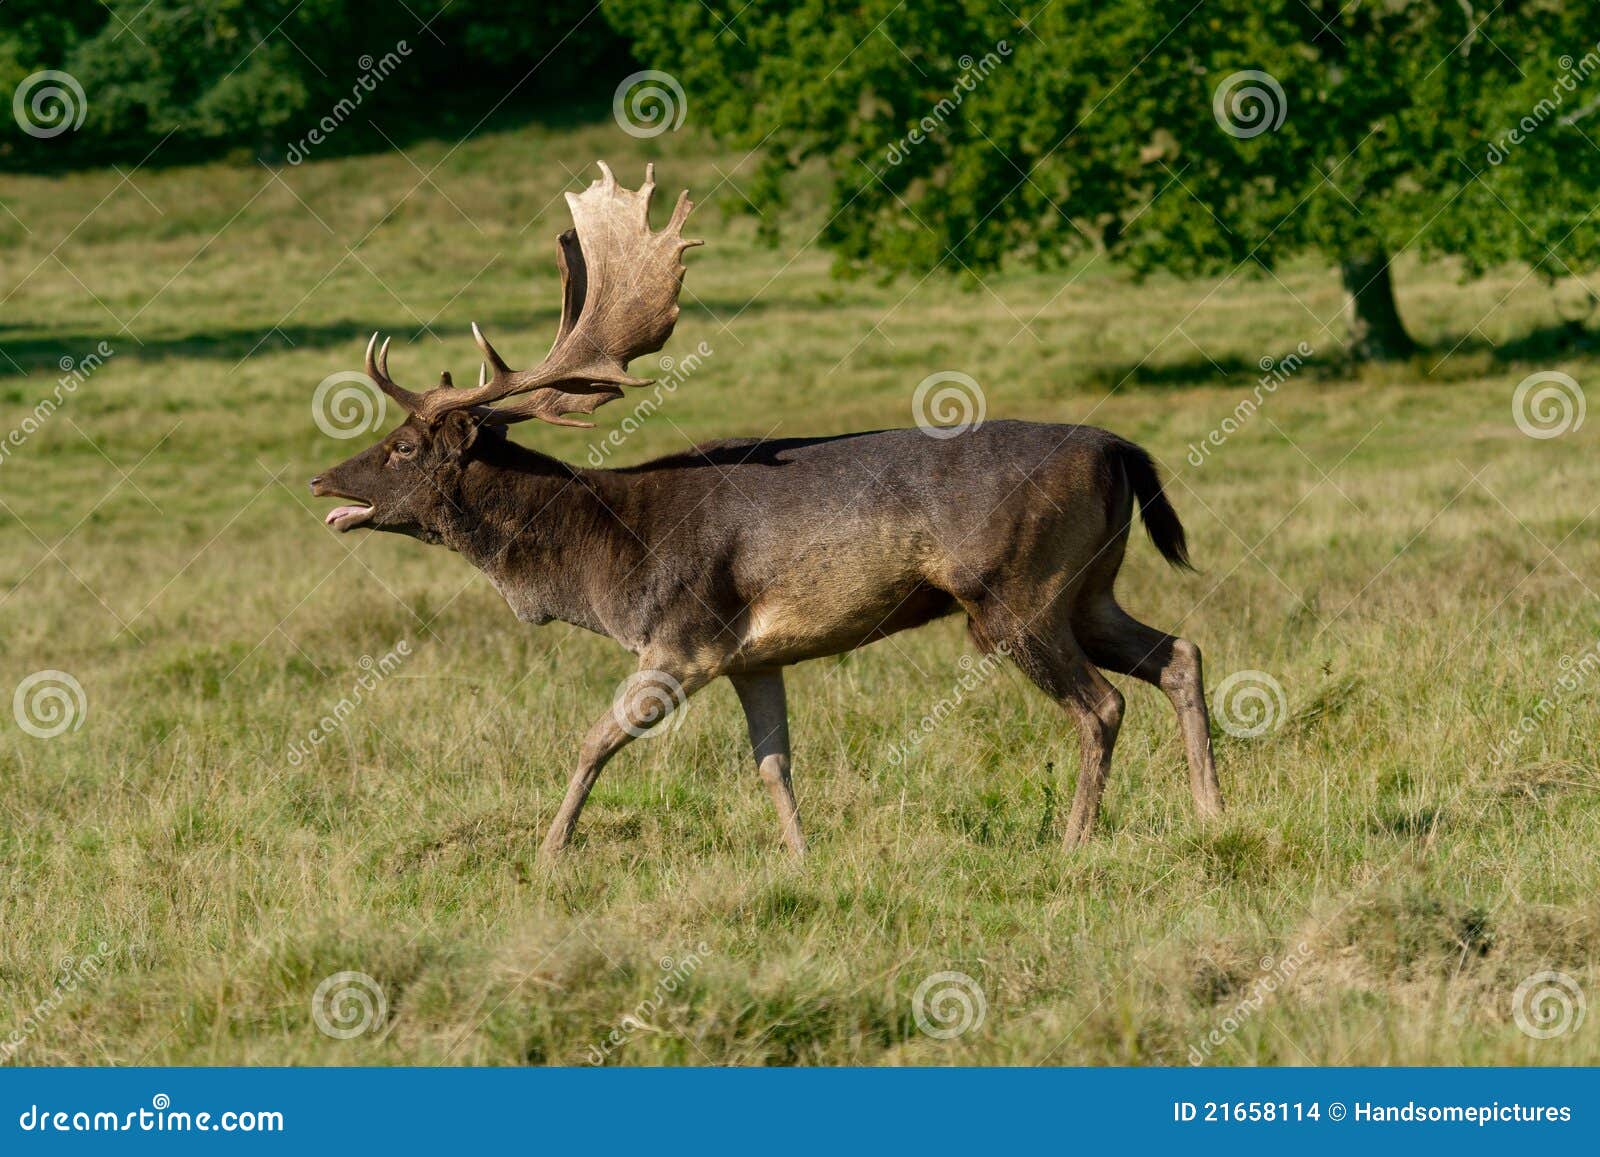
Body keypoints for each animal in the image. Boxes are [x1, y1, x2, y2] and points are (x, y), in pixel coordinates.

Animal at [309, 161, 1223, 862]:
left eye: (403, 446)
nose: (323, 481)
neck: (603, 563)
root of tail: (1118, 449)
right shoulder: (752, 655)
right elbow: (773, 762)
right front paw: (802, 856)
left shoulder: (681, 636)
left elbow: (594, 740)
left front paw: (547, 853)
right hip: (1087, 587)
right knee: (1181, 652)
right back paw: (1212, 810)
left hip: (1015, 591)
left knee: (1101, 705)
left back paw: (1075, 841)